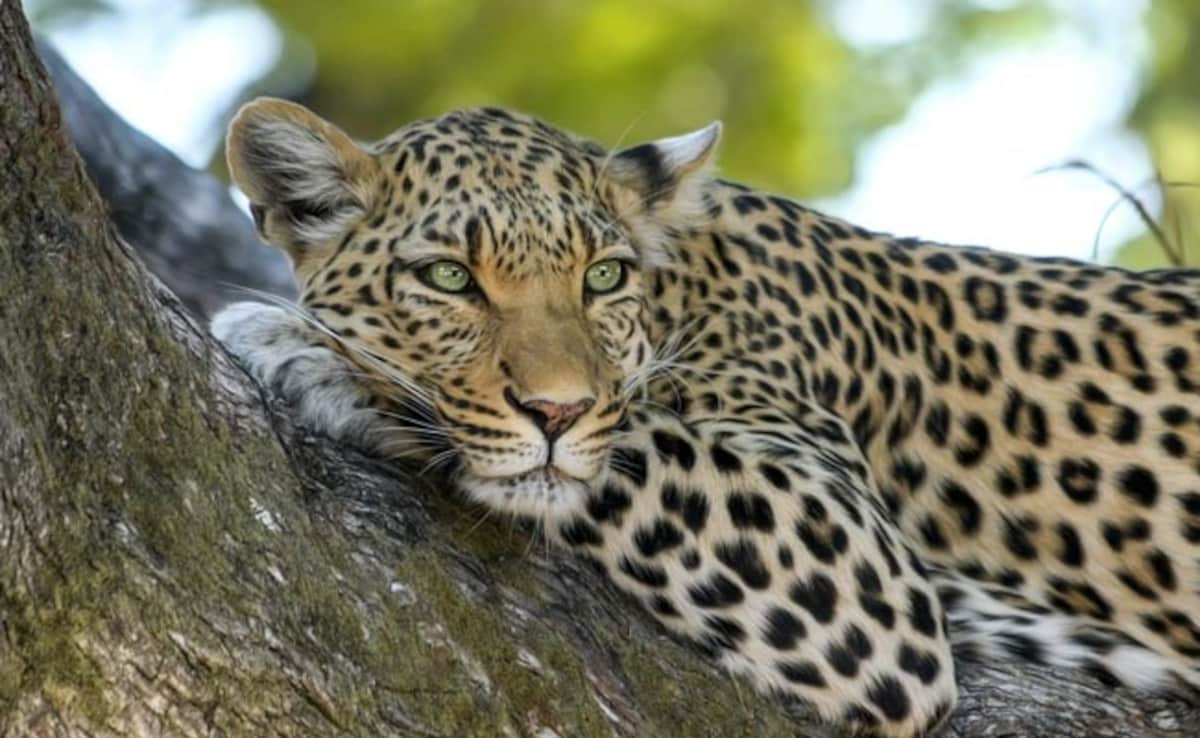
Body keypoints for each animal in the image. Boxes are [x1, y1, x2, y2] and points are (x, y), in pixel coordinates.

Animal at [211, 97, 1200, 736]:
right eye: (450, 277)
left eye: (602, 276)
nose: (557, 408)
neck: (685, 289)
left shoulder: (859, 566)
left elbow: (626, 445)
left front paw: (310, 351)